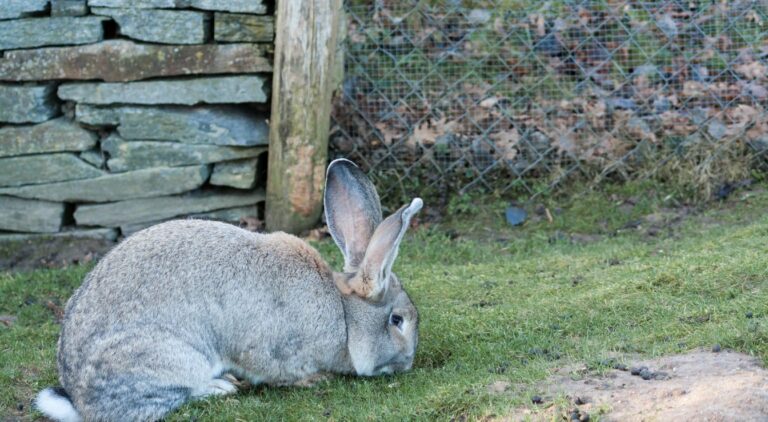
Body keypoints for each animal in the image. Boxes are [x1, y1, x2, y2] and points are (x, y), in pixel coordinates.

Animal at [35, 158, 423, 422]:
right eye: (397, 321)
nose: (408, 364)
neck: (343, 316)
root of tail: (79, 399)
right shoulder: (275, 350)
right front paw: (314, 379)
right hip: (169, 357)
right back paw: (221, 386)